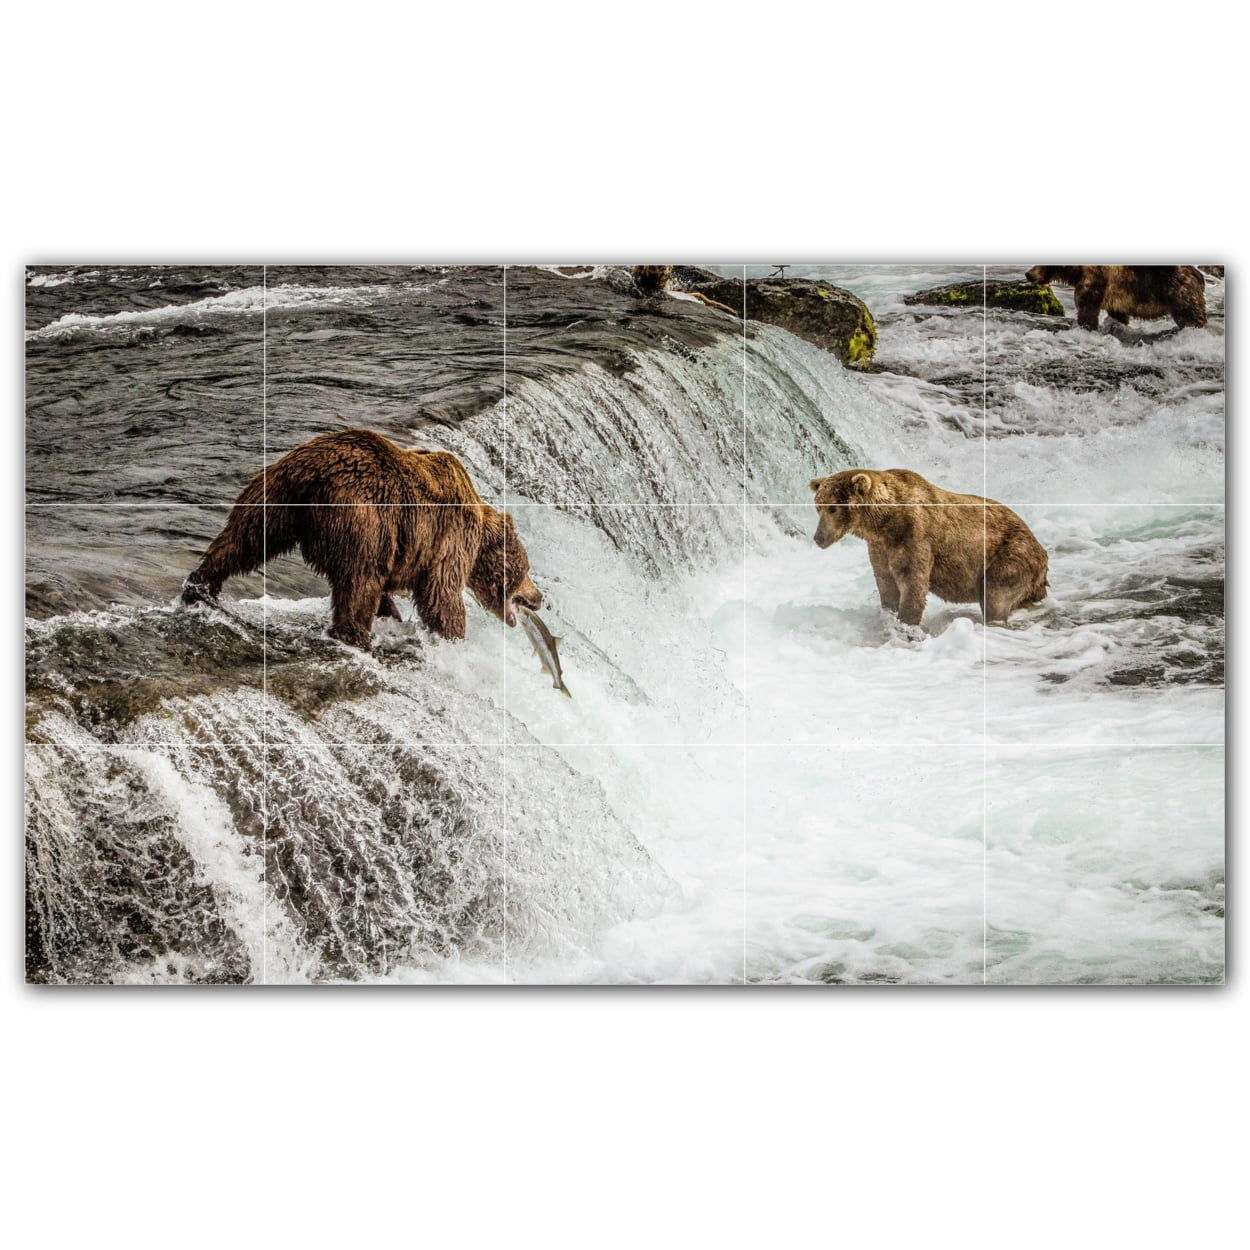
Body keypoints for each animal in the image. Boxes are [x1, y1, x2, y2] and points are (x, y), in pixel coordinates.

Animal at [181, 429, 542, 650]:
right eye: (526, 571)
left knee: (242, 540)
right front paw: (452, 637)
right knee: (360, 578)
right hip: (364, 518)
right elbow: (441, 595)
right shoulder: (448, 538)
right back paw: (354, 636)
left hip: (276, 494)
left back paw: (199, 587)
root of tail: (314, 475)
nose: (540, 598)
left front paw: (393, 615)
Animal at [809, 468, 1048, 626]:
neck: (884, 522)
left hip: (1009, 556)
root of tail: (1040, 549)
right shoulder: (879, 547)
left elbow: (913, 581)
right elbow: (886, 583)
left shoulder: (914, 535)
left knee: (995, 595)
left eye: (833, 508)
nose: (818, 538)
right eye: (818, 507)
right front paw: (889, 614)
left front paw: (906, 623)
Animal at [1024, 265, 1207, 332]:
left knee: (1190, 316)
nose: (1028, 274)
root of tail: (1198, 275)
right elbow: (1118, 314)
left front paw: (1086, 326)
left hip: (1180, 293)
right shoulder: (1115, 297)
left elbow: (1087, 310)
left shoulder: (1094, 281)